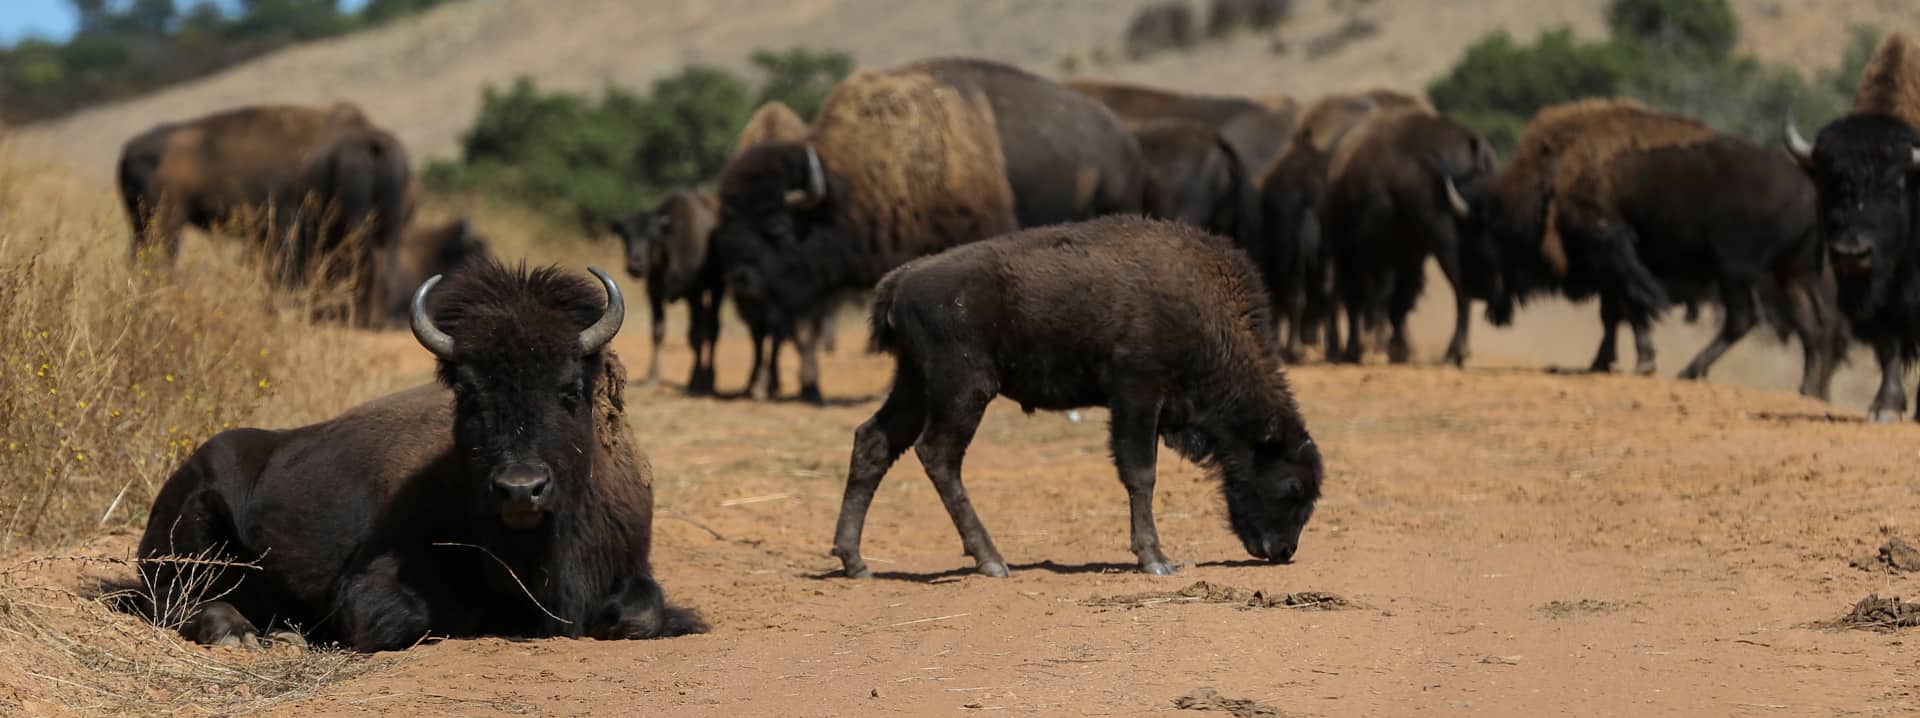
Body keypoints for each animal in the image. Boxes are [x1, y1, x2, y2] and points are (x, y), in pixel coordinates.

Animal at [136, 262, 700, 651]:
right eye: (469, 395)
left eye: (570, 390)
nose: (520, 489)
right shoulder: (373, 586)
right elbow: (420, 616)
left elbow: (643, 614)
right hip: (186, 539)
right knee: (173, 597)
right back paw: (242, 632)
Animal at [832, 215, 1323, 579]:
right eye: (1292, 486)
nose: (1283, 550)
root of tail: (901, 279)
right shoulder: (1138, 393)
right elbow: (1140, 474)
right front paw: (1155, 560)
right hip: (963, 390)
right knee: (938, 455)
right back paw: (992, 561)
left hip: (914, 385)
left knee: (874, 442)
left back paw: (855, 561)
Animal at [1785, 32, 1920, 421]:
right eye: (1829, 184)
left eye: (1896, 186)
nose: (1851, 252)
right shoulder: (1872, 297)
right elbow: (1888, 345)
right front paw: (1885, 408)